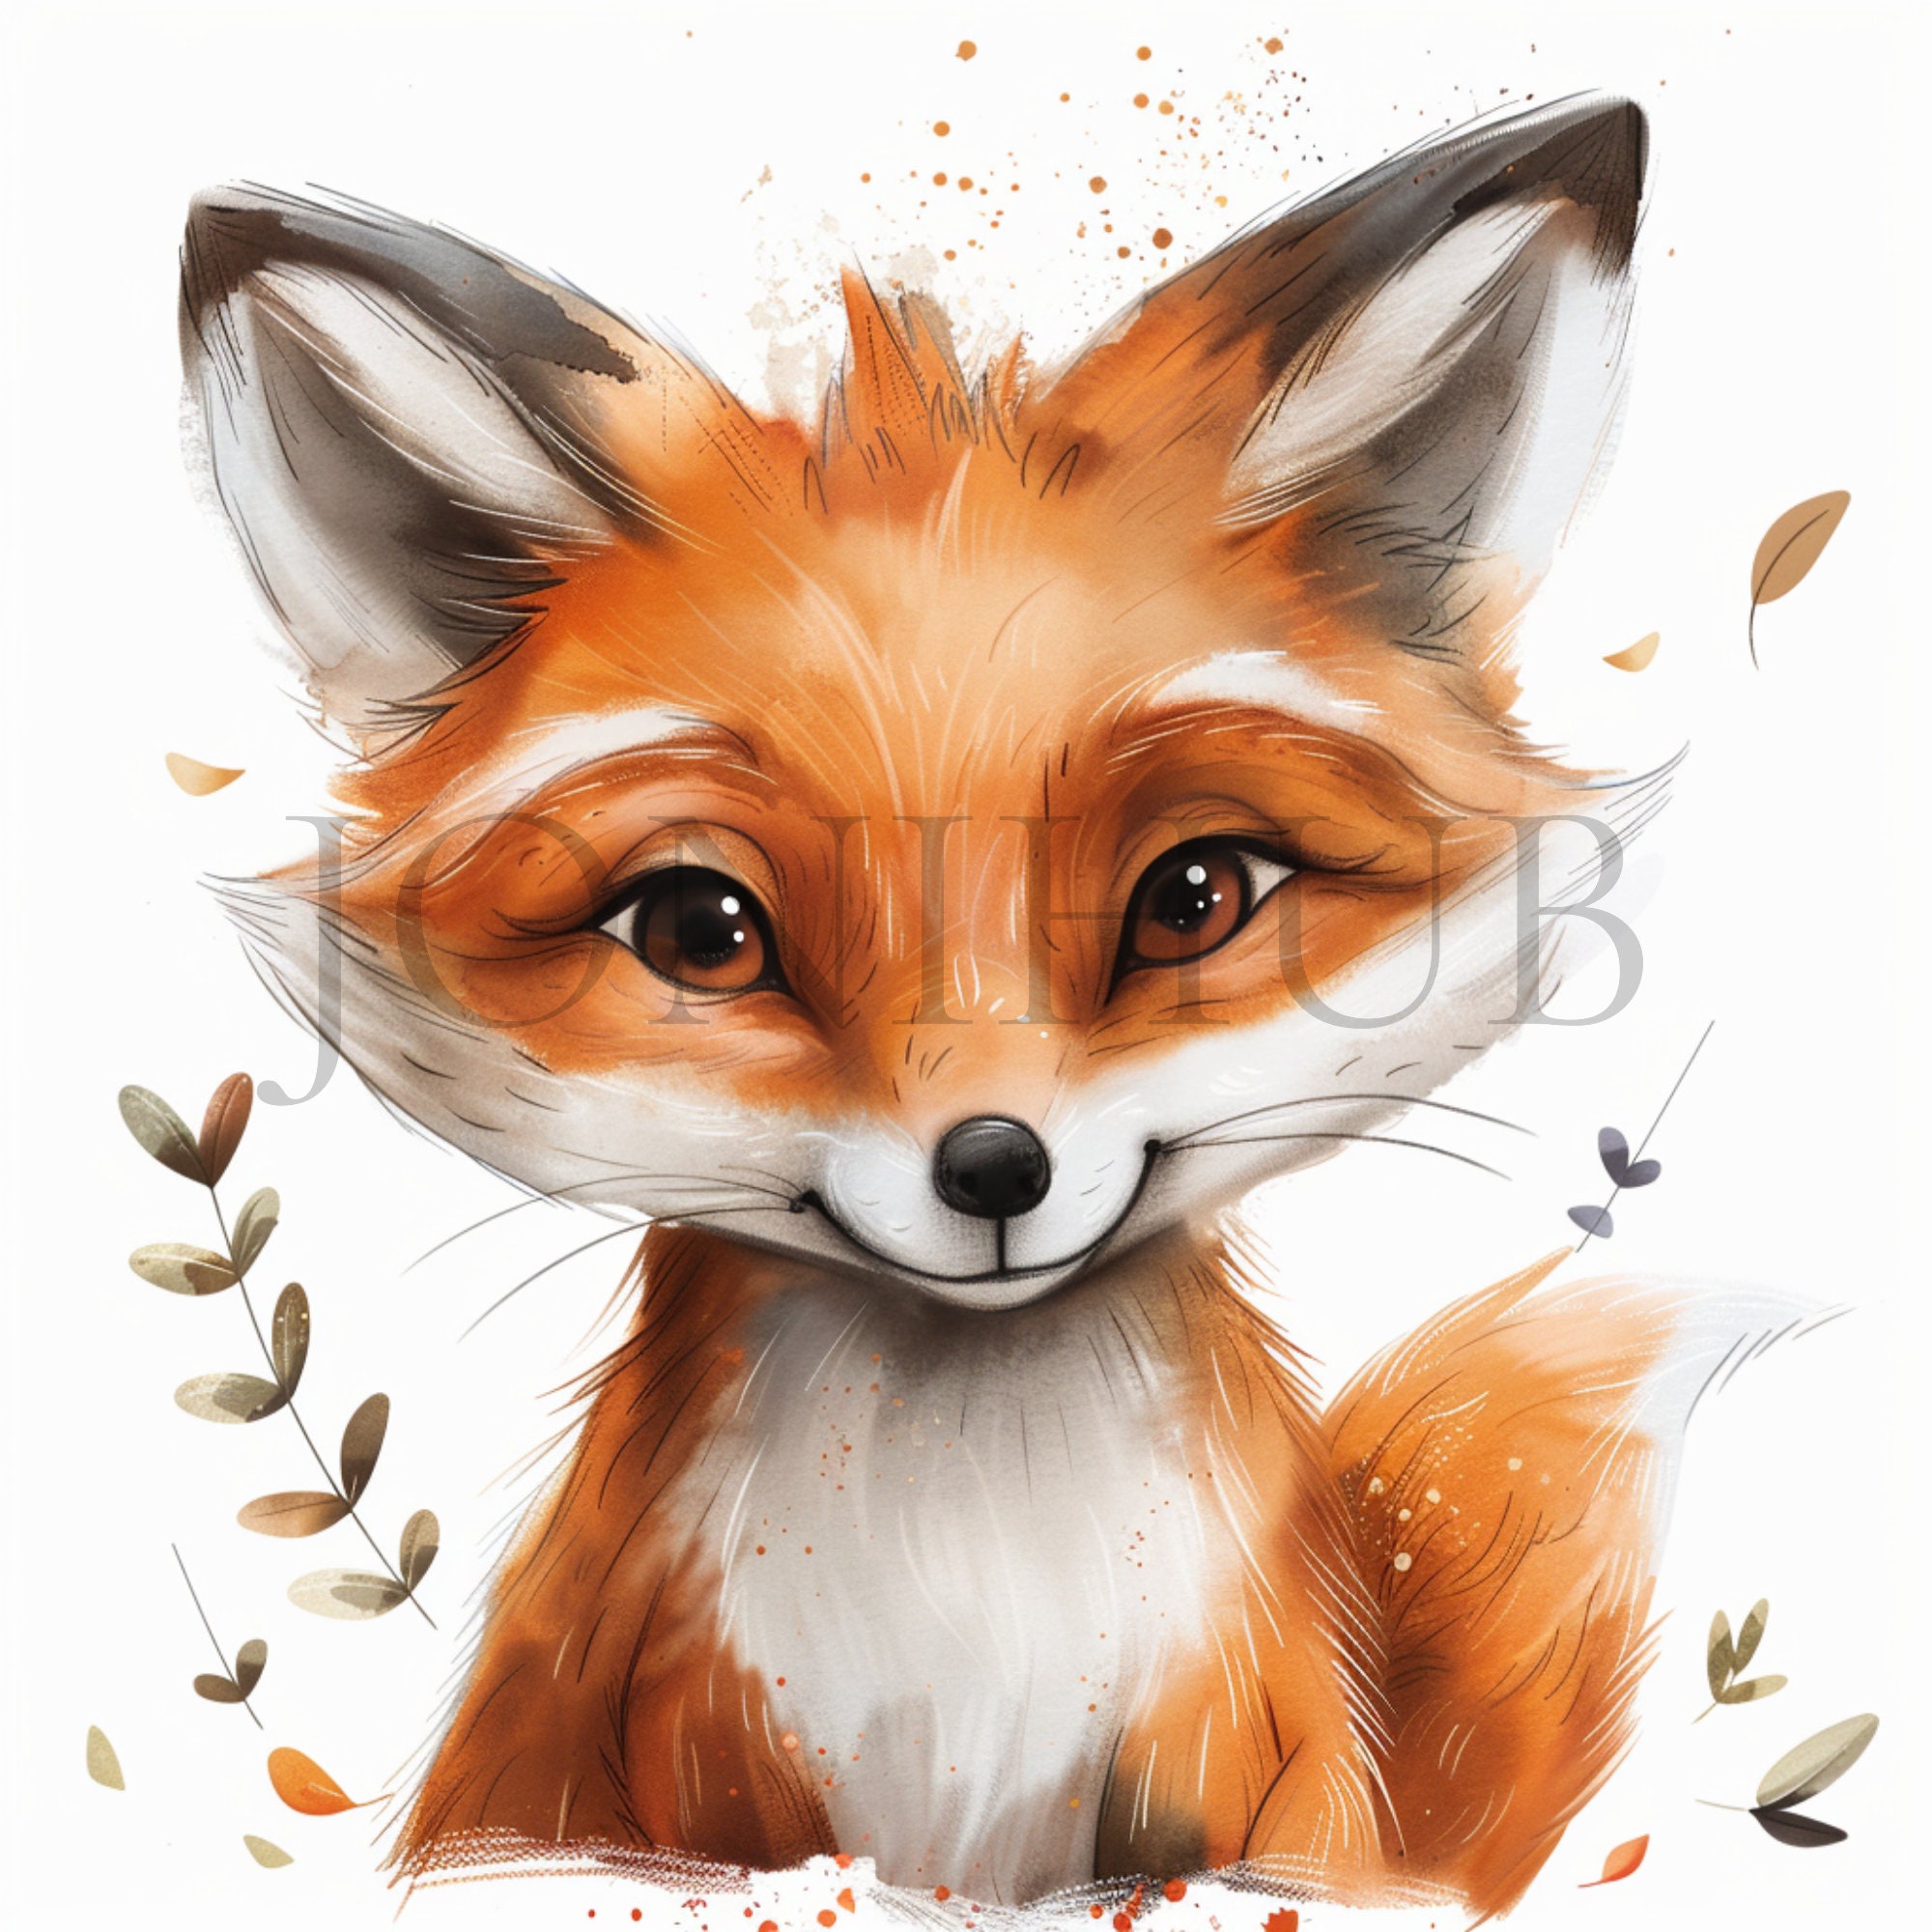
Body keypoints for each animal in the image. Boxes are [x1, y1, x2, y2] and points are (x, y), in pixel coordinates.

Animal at [176, 93, 1813, 1920]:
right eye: (698, 929)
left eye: (1194, 896)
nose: (993, 1169)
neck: (965, 1629)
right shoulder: (635, 1789)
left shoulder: (1279, 1793)